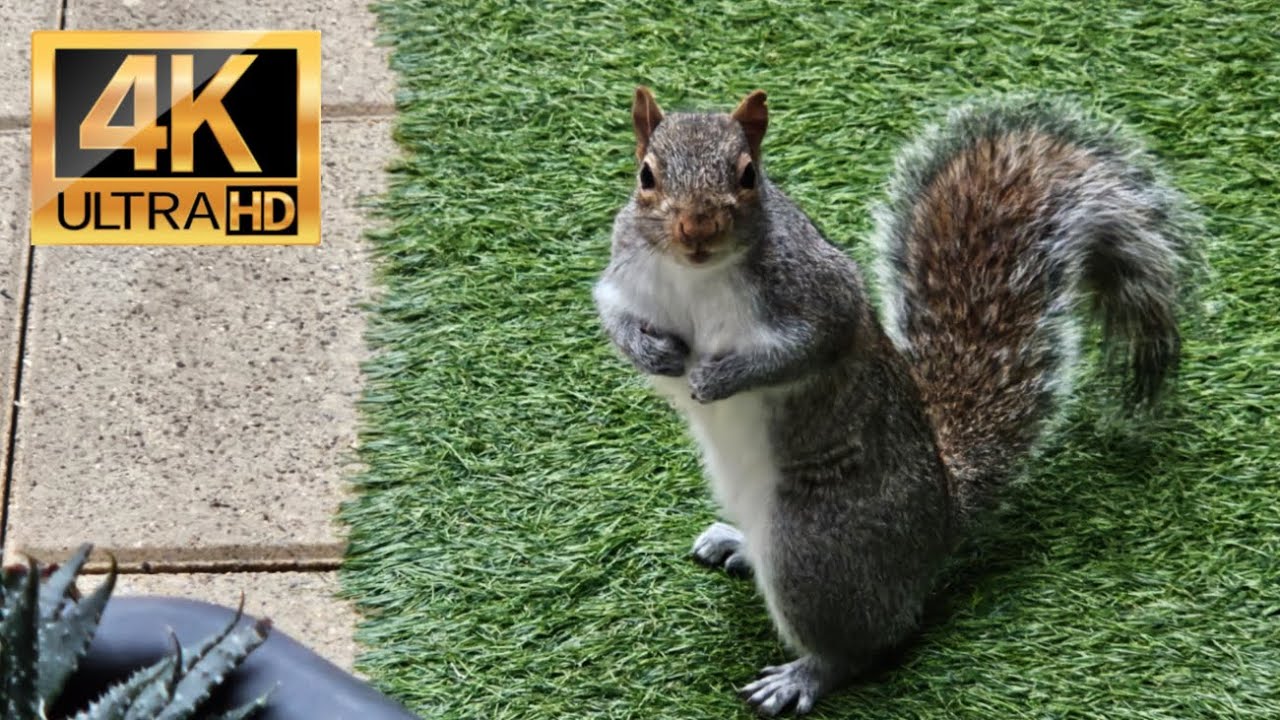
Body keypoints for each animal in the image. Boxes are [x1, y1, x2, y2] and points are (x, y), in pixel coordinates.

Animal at [593, 87, 1194, 716]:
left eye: (747, 175)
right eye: (646, 175)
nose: (696, 229)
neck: (698, 275)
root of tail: (941, 522)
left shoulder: (820, 296)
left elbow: (805, 348)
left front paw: (719, 378)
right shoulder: (621, 278)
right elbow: (612, 317)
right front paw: (651, 353)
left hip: (814, 546)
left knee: (868, 645)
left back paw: (804, 676)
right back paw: (736, 541)